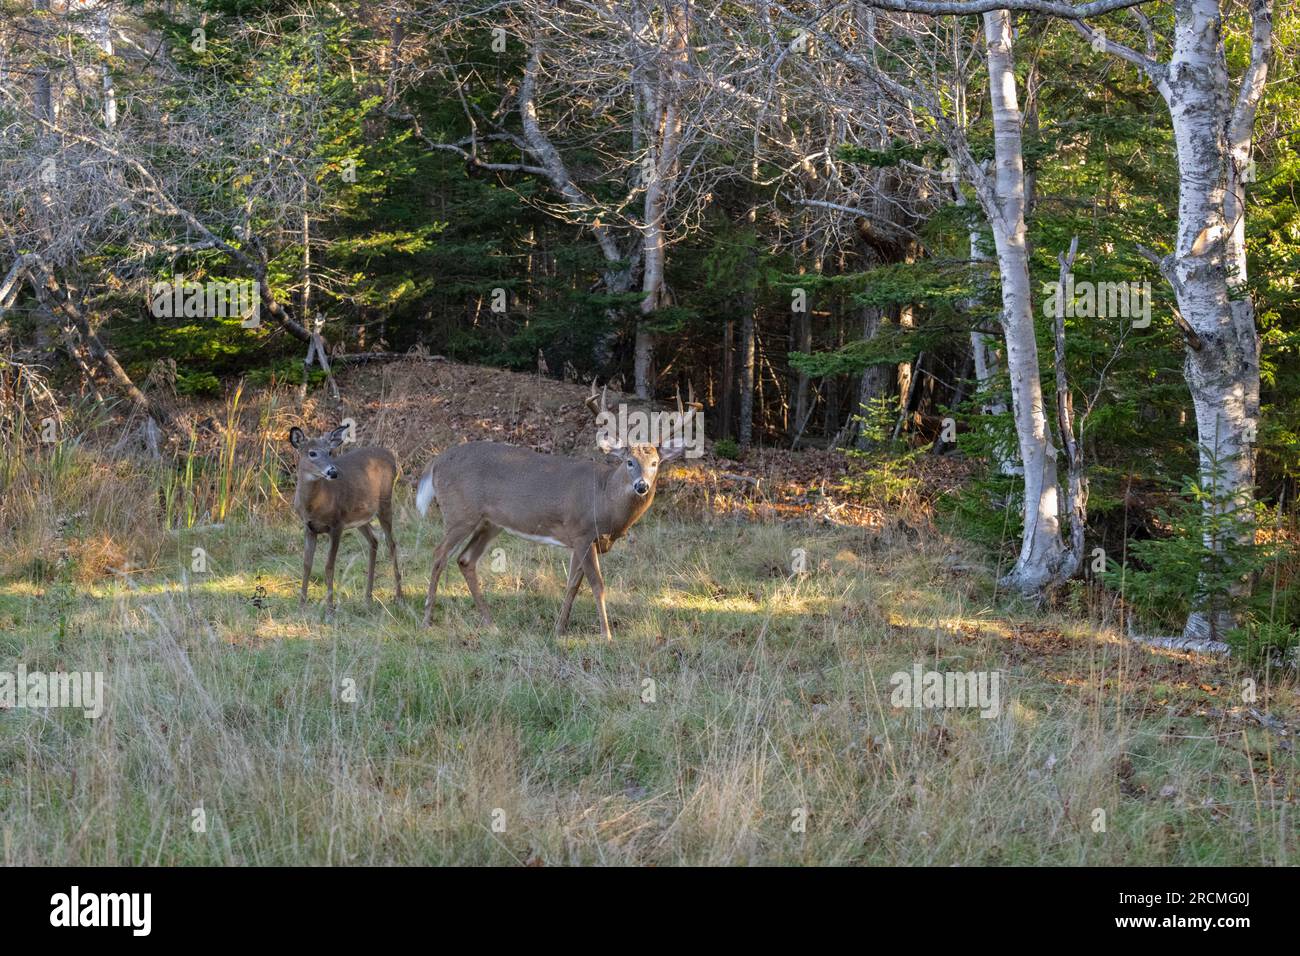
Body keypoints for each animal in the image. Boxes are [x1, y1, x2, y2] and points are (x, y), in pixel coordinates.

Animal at [289, 425, 403, 613]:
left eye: (329, 452)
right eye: (312, 453)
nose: (332, 472)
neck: (314, 506)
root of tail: (389, 453)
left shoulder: (337, 525)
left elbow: (329, 565)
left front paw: (330, 609)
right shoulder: (309, 527)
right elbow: (306, 564)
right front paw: (301, 606)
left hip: (385, 502)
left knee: (391, 543)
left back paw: (399, 596)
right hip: (360, 516)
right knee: (374, 540)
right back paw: (368, 597)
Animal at [415, 383, 699, 640]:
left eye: (655, 463)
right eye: (629, 462)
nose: (642, 486)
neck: (604, 498)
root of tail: (436, 462)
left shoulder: (583, 541)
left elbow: (573, 584)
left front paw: (559, 629)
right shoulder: (582, 532)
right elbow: (597, 585)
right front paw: (606, 635)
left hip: (490, 522)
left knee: (465, 559)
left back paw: (490, 623)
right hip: (460, 512)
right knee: (439, 554)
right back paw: (427, 619)